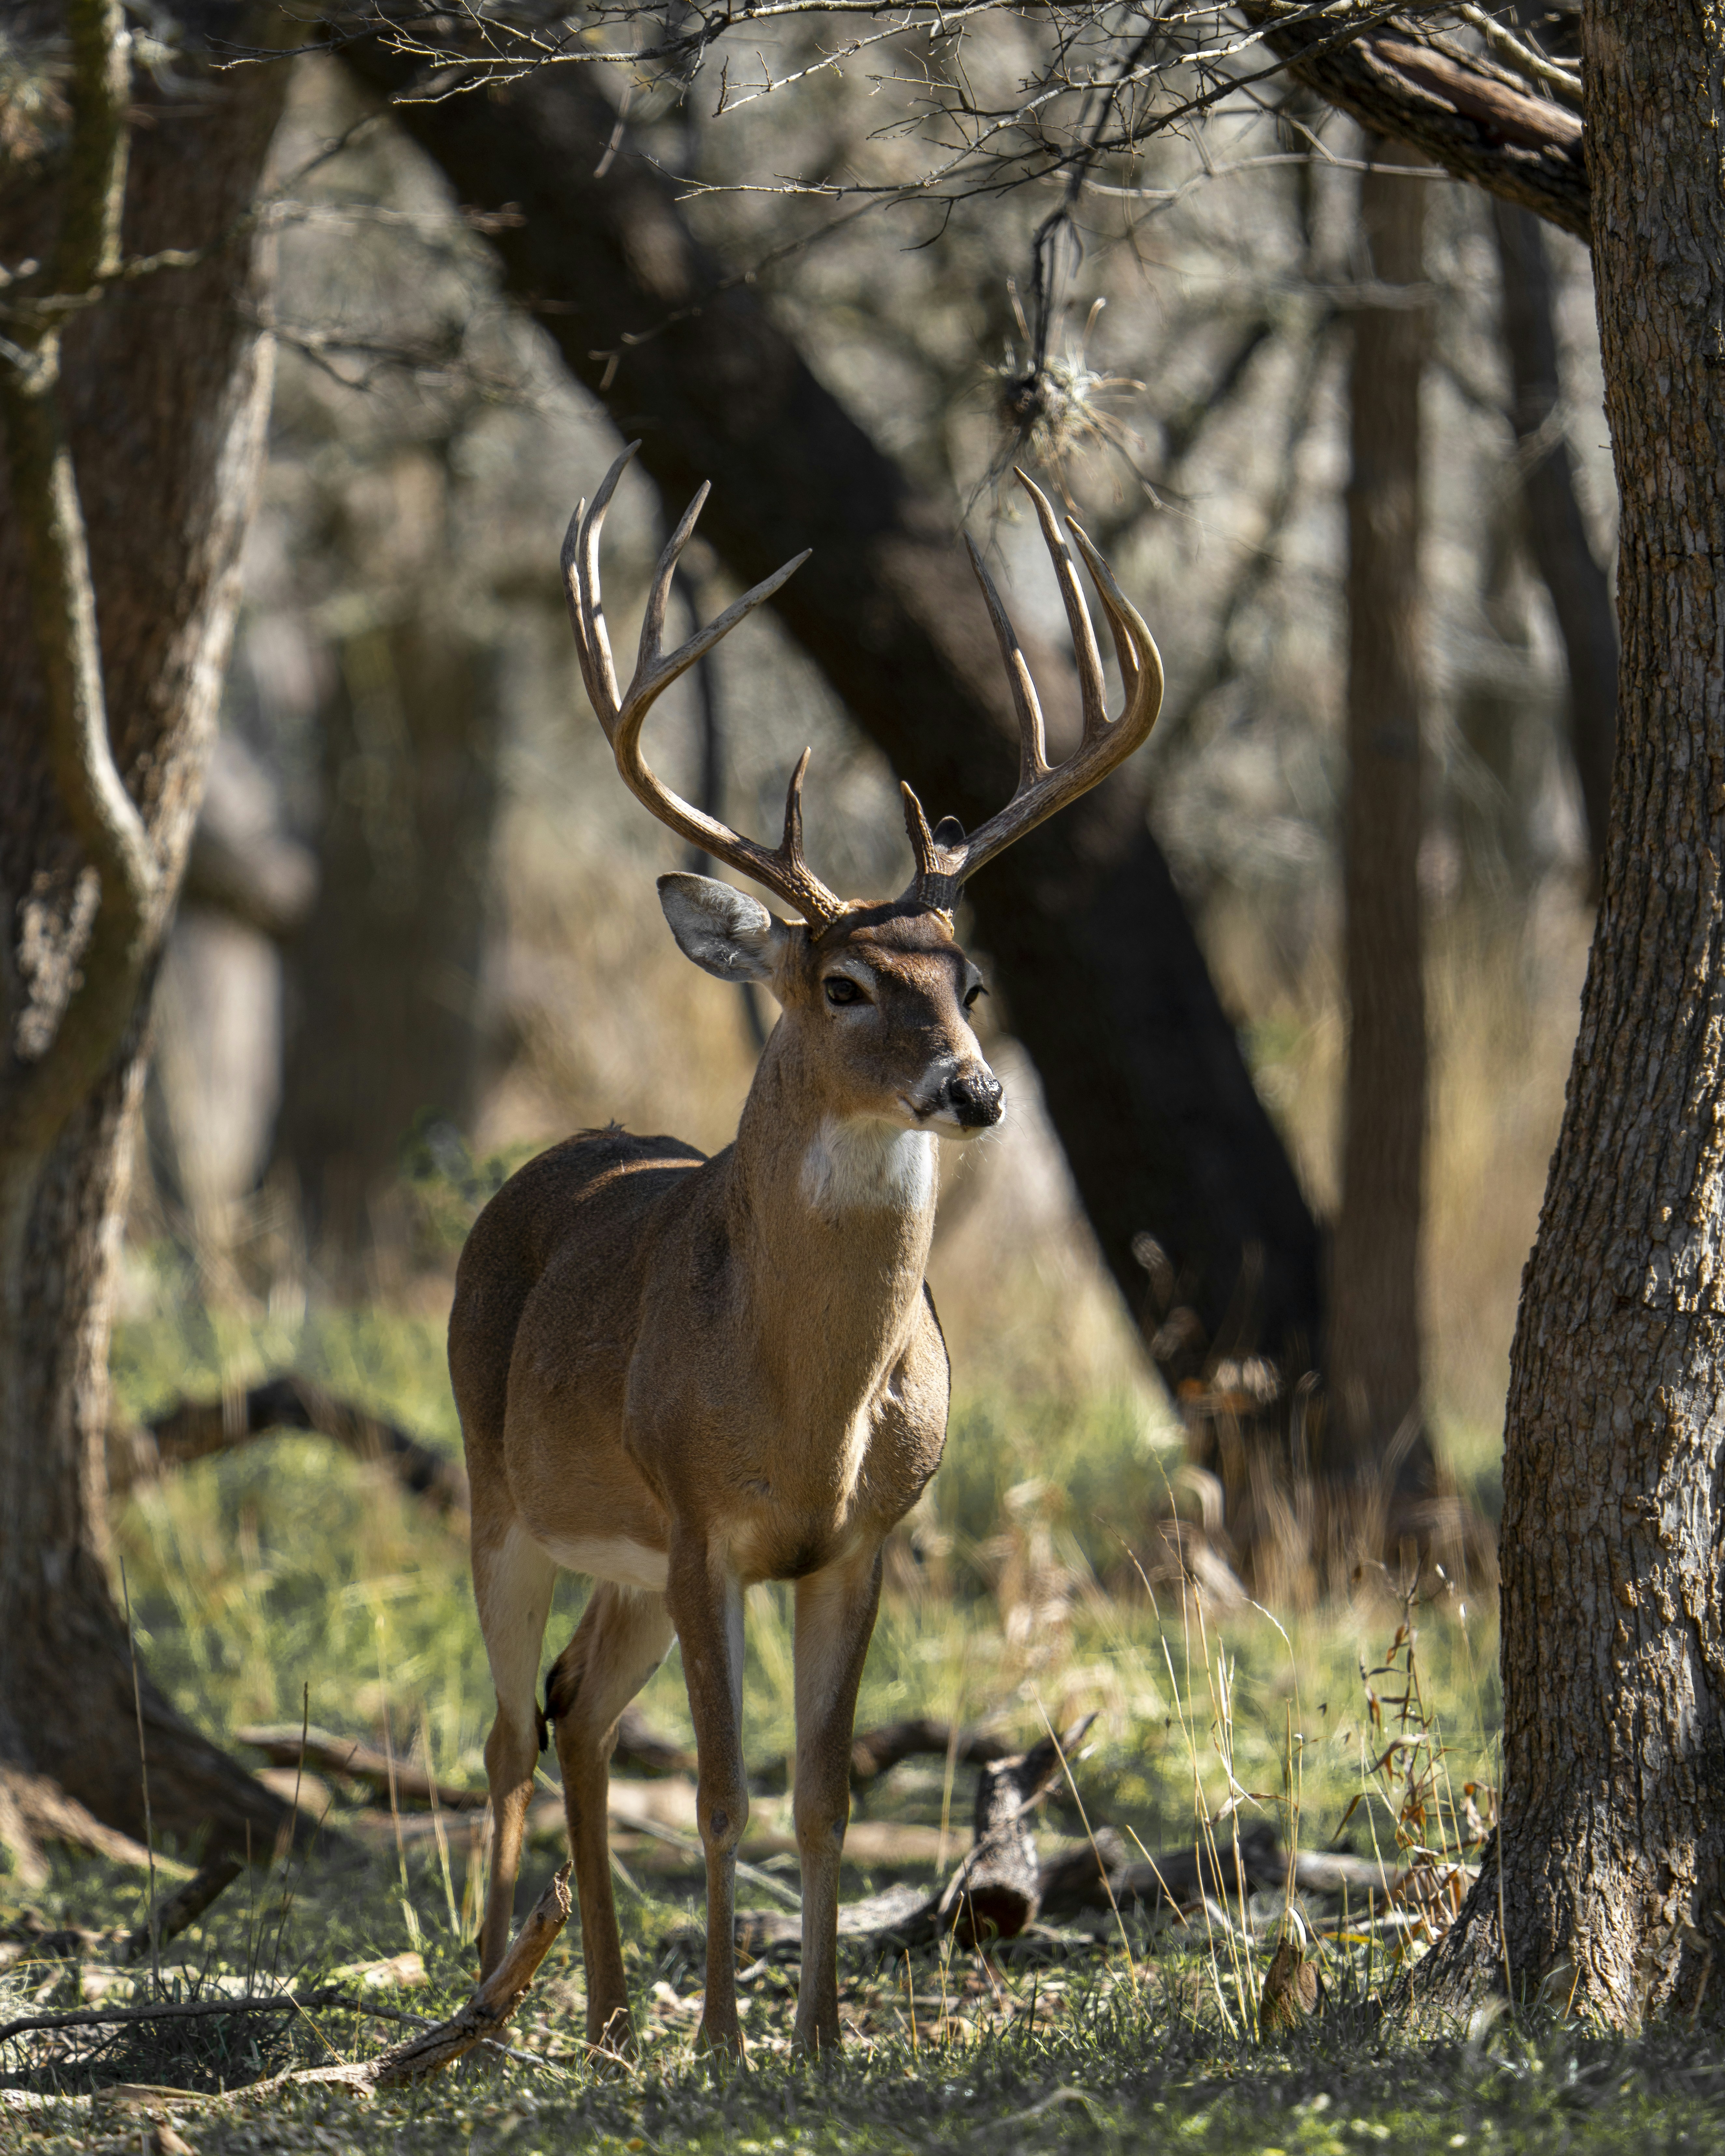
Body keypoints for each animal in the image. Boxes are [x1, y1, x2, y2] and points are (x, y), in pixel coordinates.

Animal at [448, 441, 1163, 2060]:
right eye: (841, 982)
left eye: (967, 977)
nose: (977, 1090)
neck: (802, 1404)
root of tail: (541, 1162)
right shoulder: (702, 1520)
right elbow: (722, 1796)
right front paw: (724, 2041)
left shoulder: (861, 1536)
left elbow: (822, 1797)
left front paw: (820, 2040)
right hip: (498, 1489)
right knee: (509, 1726)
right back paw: (484, 1991)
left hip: (622, 1558)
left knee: (578, 1705)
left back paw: (602, 2012)